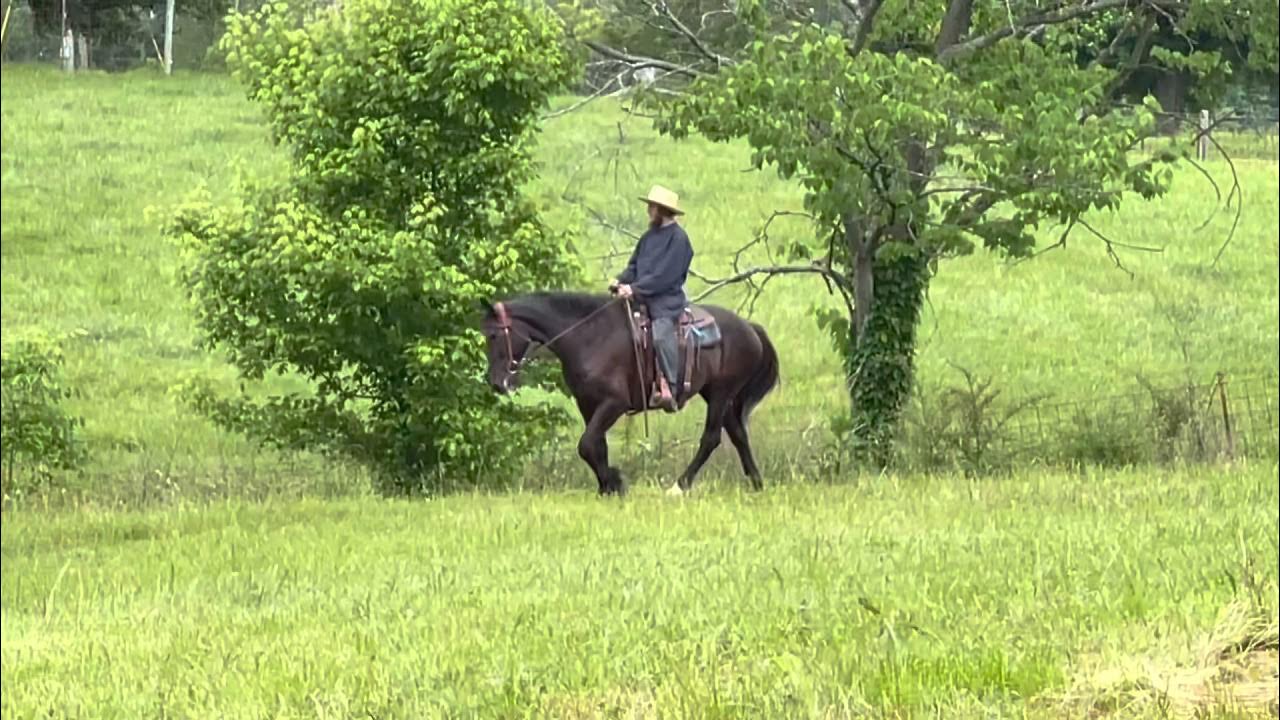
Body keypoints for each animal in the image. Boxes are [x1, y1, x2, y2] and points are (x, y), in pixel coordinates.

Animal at [480, 292, 779, 495]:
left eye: (493, 335)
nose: (496, 382)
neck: (588, 336)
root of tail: (750, 328)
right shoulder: (588, 404)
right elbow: (595, 445)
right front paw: (607, 486)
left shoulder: (614, 404)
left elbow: (586, 444)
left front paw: (615, 482)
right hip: (720, 396)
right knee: (738, 435)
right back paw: (756, 483)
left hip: (720, 393)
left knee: (711, 438)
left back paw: (680, 486)